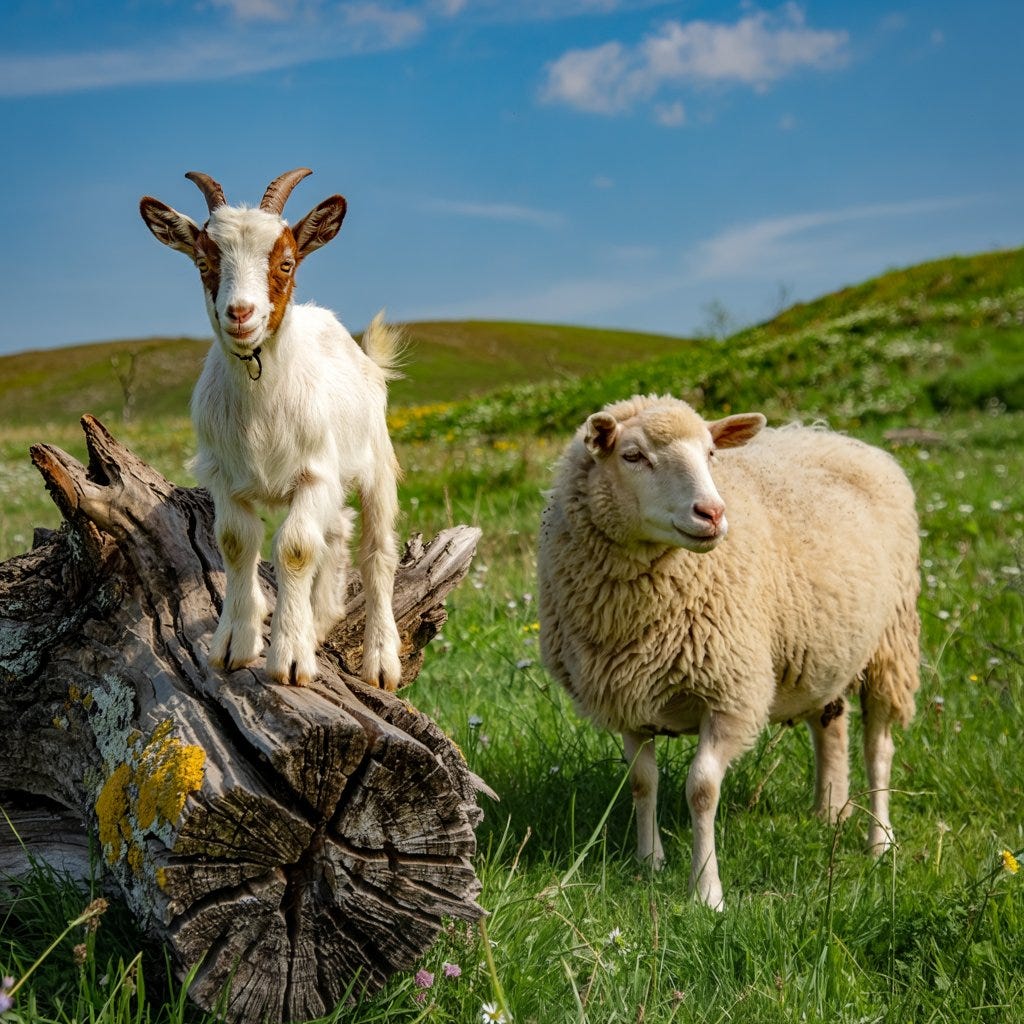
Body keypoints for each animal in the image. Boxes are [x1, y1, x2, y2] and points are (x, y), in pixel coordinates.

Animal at [139, 168, 403, 690]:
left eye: (285, 262)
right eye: (204, 261)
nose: (241, 314)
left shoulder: (315, 473)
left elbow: (296, 548)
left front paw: (291, 659)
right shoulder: (223, 476)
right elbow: (236, 542)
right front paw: (234, 646)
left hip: (376, 463)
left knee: (377, 552)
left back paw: (380, 662)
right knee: (337, 531)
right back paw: (320, 617)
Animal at [537, 394, 920, 909]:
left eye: (711, 454)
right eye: (632, 456)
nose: (713, 513)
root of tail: (828, 434)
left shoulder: (730, 694)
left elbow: (701, 789)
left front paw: (706, 892)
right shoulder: (626, 698)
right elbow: (641, 781)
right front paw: (648, 864)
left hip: (890, 644)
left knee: (879, 747)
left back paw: (879, 841)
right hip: (828, 648)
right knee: (832, 725)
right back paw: (830, 812)